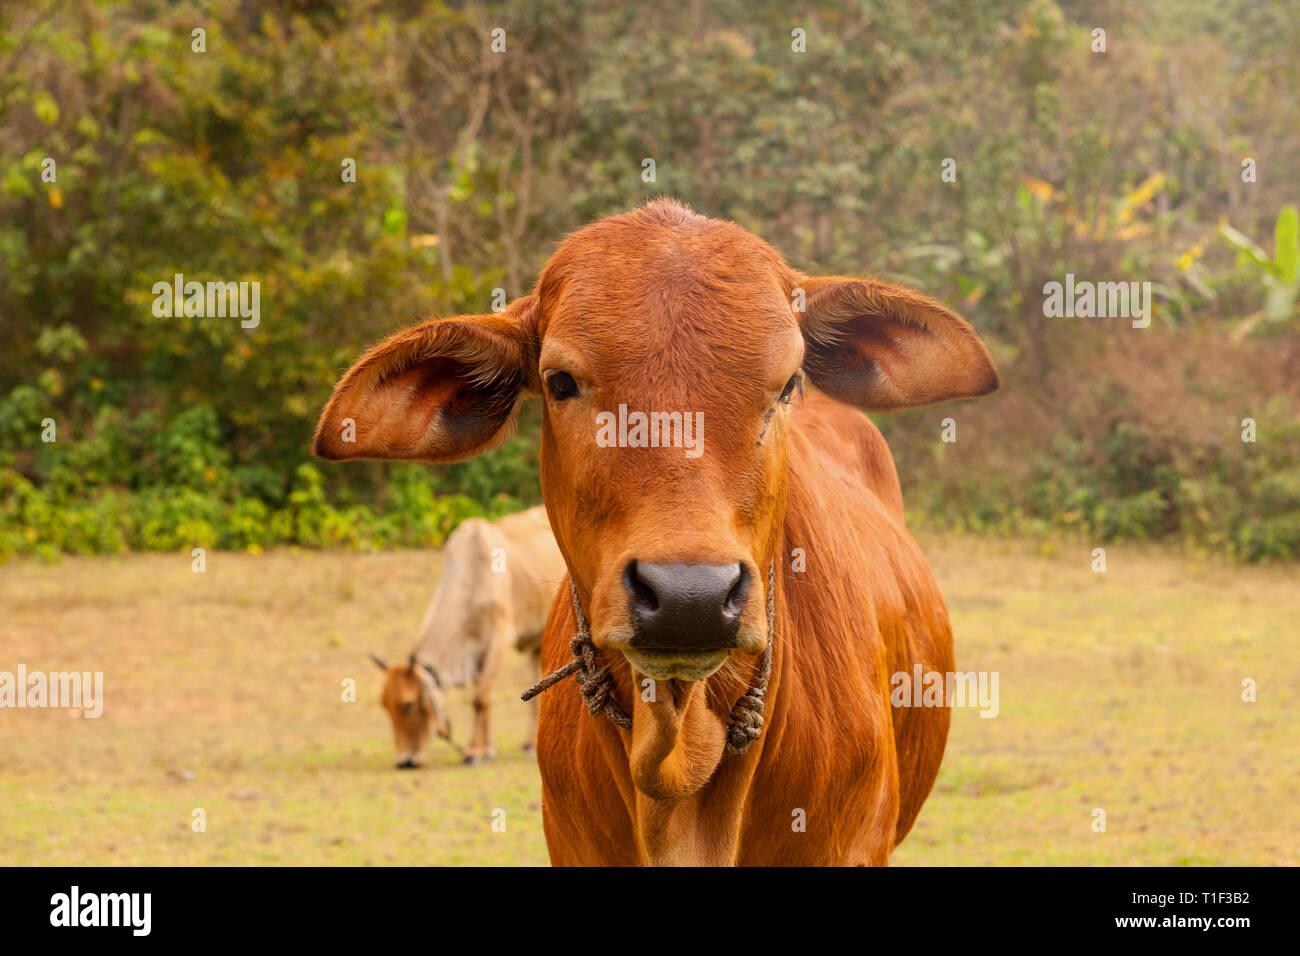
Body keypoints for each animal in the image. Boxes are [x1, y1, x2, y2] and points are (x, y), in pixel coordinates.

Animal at [369, 505, 565, 768]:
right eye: (384, 705)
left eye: (409, 704)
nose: (405, 761)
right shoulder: (472, 653)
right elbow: (484, 698)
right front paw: (487, 749)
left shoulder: (498, 641)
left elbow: (480, 700)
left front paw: (474, 752)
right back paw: (529, 742)